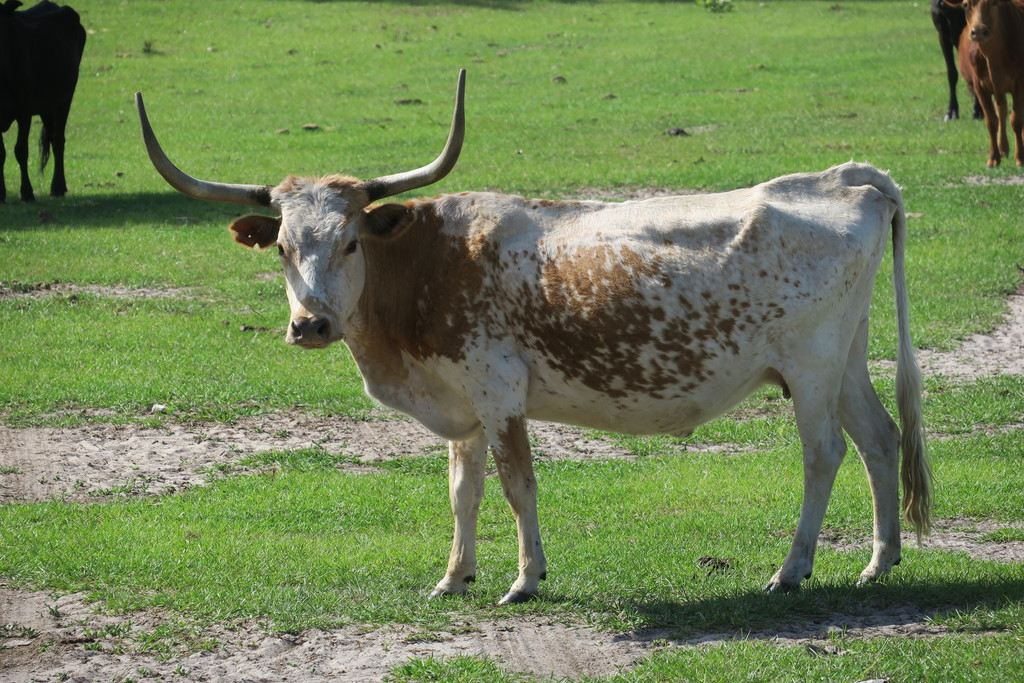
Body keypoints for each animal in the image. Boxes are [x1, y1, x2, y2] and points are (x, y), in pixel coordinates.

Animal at [0, 0, 86, 203]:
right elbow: (0, 153)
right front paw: (1, 193)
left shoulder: (23, 112)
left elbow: (21, 150)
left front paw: (27, 192)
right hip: (47, 106)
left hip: (65, 99)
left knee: (58, 140)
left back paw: (58, 187)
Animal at [135, 71, 932, 604]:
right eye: (281, 247)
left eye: (351, 241)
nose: (311, 325)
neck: (426, 266)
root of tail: (846, 178)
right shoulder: (459, 404)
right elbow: (463, 490)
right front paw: (453, 576)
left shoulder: (498, 393)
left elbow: (517, 482)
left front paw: (525, 580)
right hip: (845, 360)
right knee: (880, 438)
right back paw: (878, 562)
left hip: (810, 368)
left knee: (824, 452)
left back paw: (791, 569)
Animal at [958, 0, 1024, 166]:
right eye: (965, 4)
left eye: (994, 3)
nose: (979, 31)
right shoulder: (979, 87)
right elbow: (991, 121)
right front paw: (994, 158)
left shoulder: (1020, 84)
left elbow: (1016, 120)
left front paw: (1020, 157)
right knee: (1001, 109)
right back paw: (1003, 148)